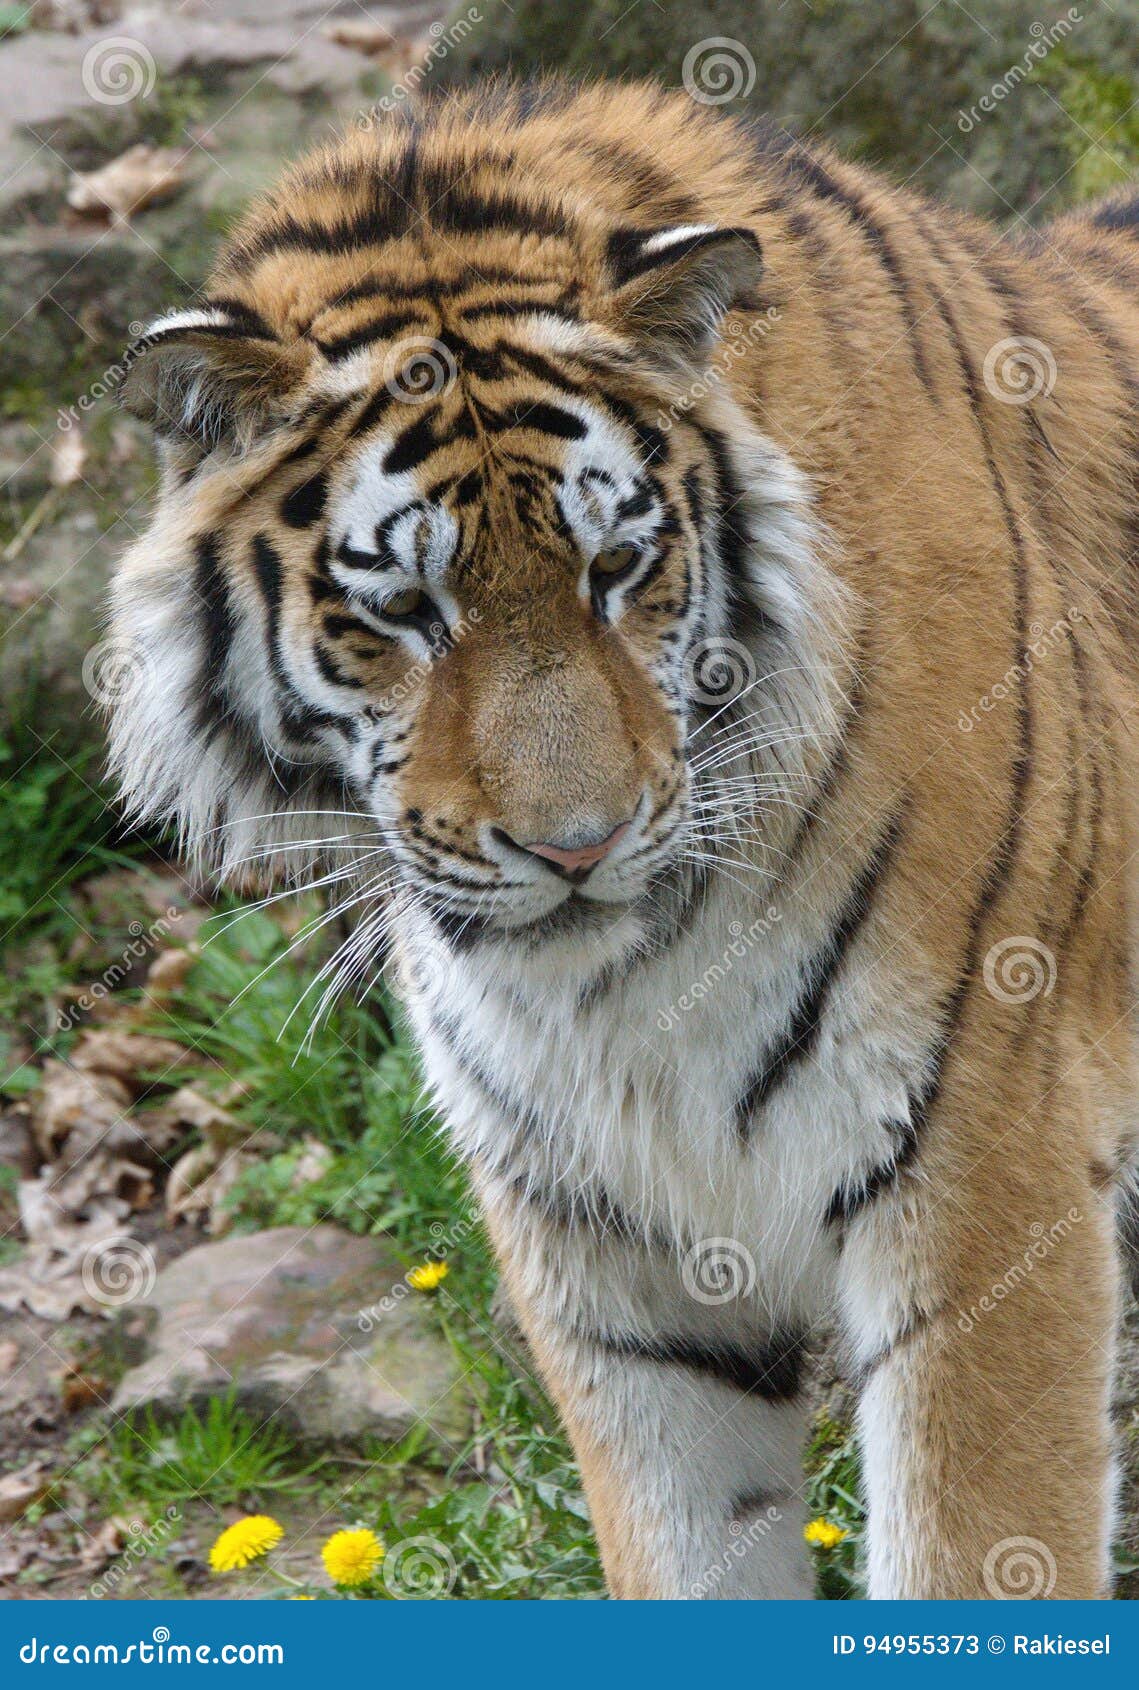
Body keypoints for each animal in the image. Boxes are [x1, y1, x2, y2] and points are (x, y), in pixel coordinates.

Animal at [104, 78, 1139, 1600]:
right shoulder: (607, 1256)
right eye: (403, 610)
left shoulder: (983, 1169)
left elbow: (976, 1551)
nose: (574, 848)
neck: (624, 986)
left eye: (615, 568)